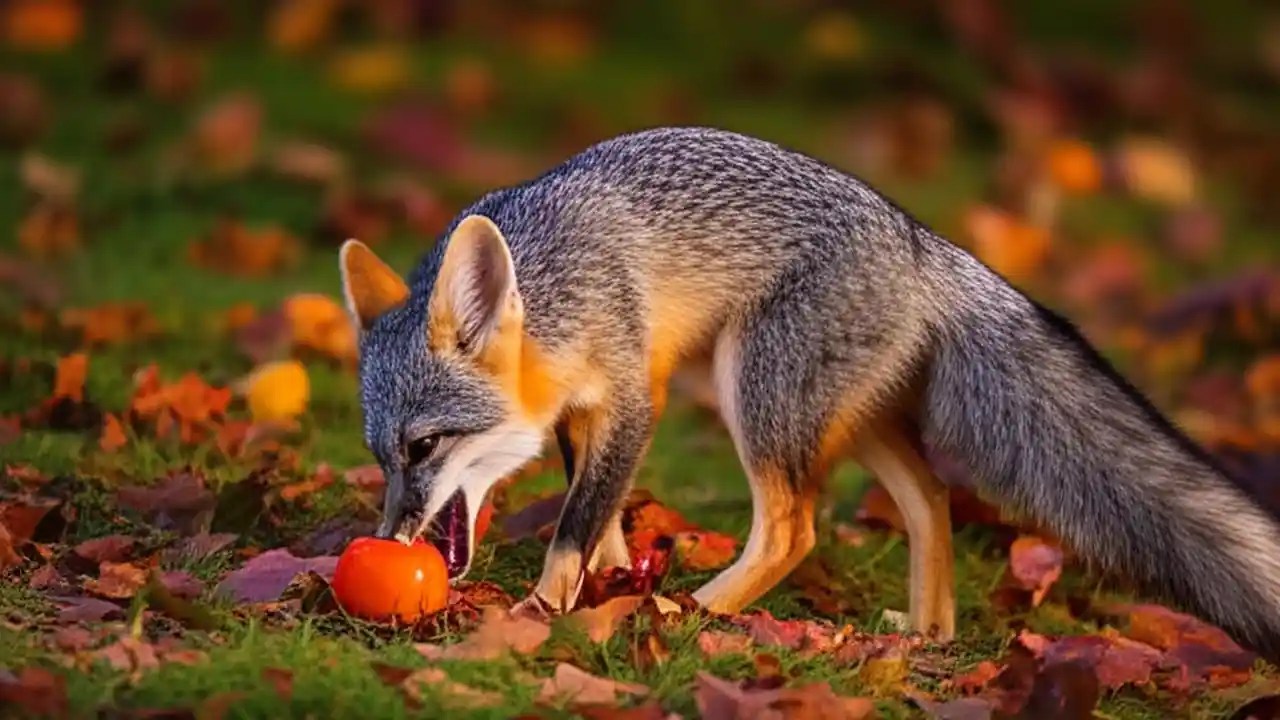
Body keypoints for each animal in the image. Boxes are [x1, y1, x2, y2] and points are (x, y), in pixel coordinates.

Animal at [339, 126, 1280, 660]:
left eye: (424, 446)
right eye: (381, 456)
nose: (387, 538)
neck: (557, 285)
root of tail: (923, 239)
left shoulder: (633, 394)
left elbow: (578, 519)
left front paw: (548, 607)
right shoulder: (584, 411)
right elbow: (597, 511)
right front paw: (608, 581)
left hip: (755, 392)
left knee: (795, 529)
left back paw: (694, 613)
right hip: (835, 414)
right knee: (931, 495)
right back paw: (927, 629)